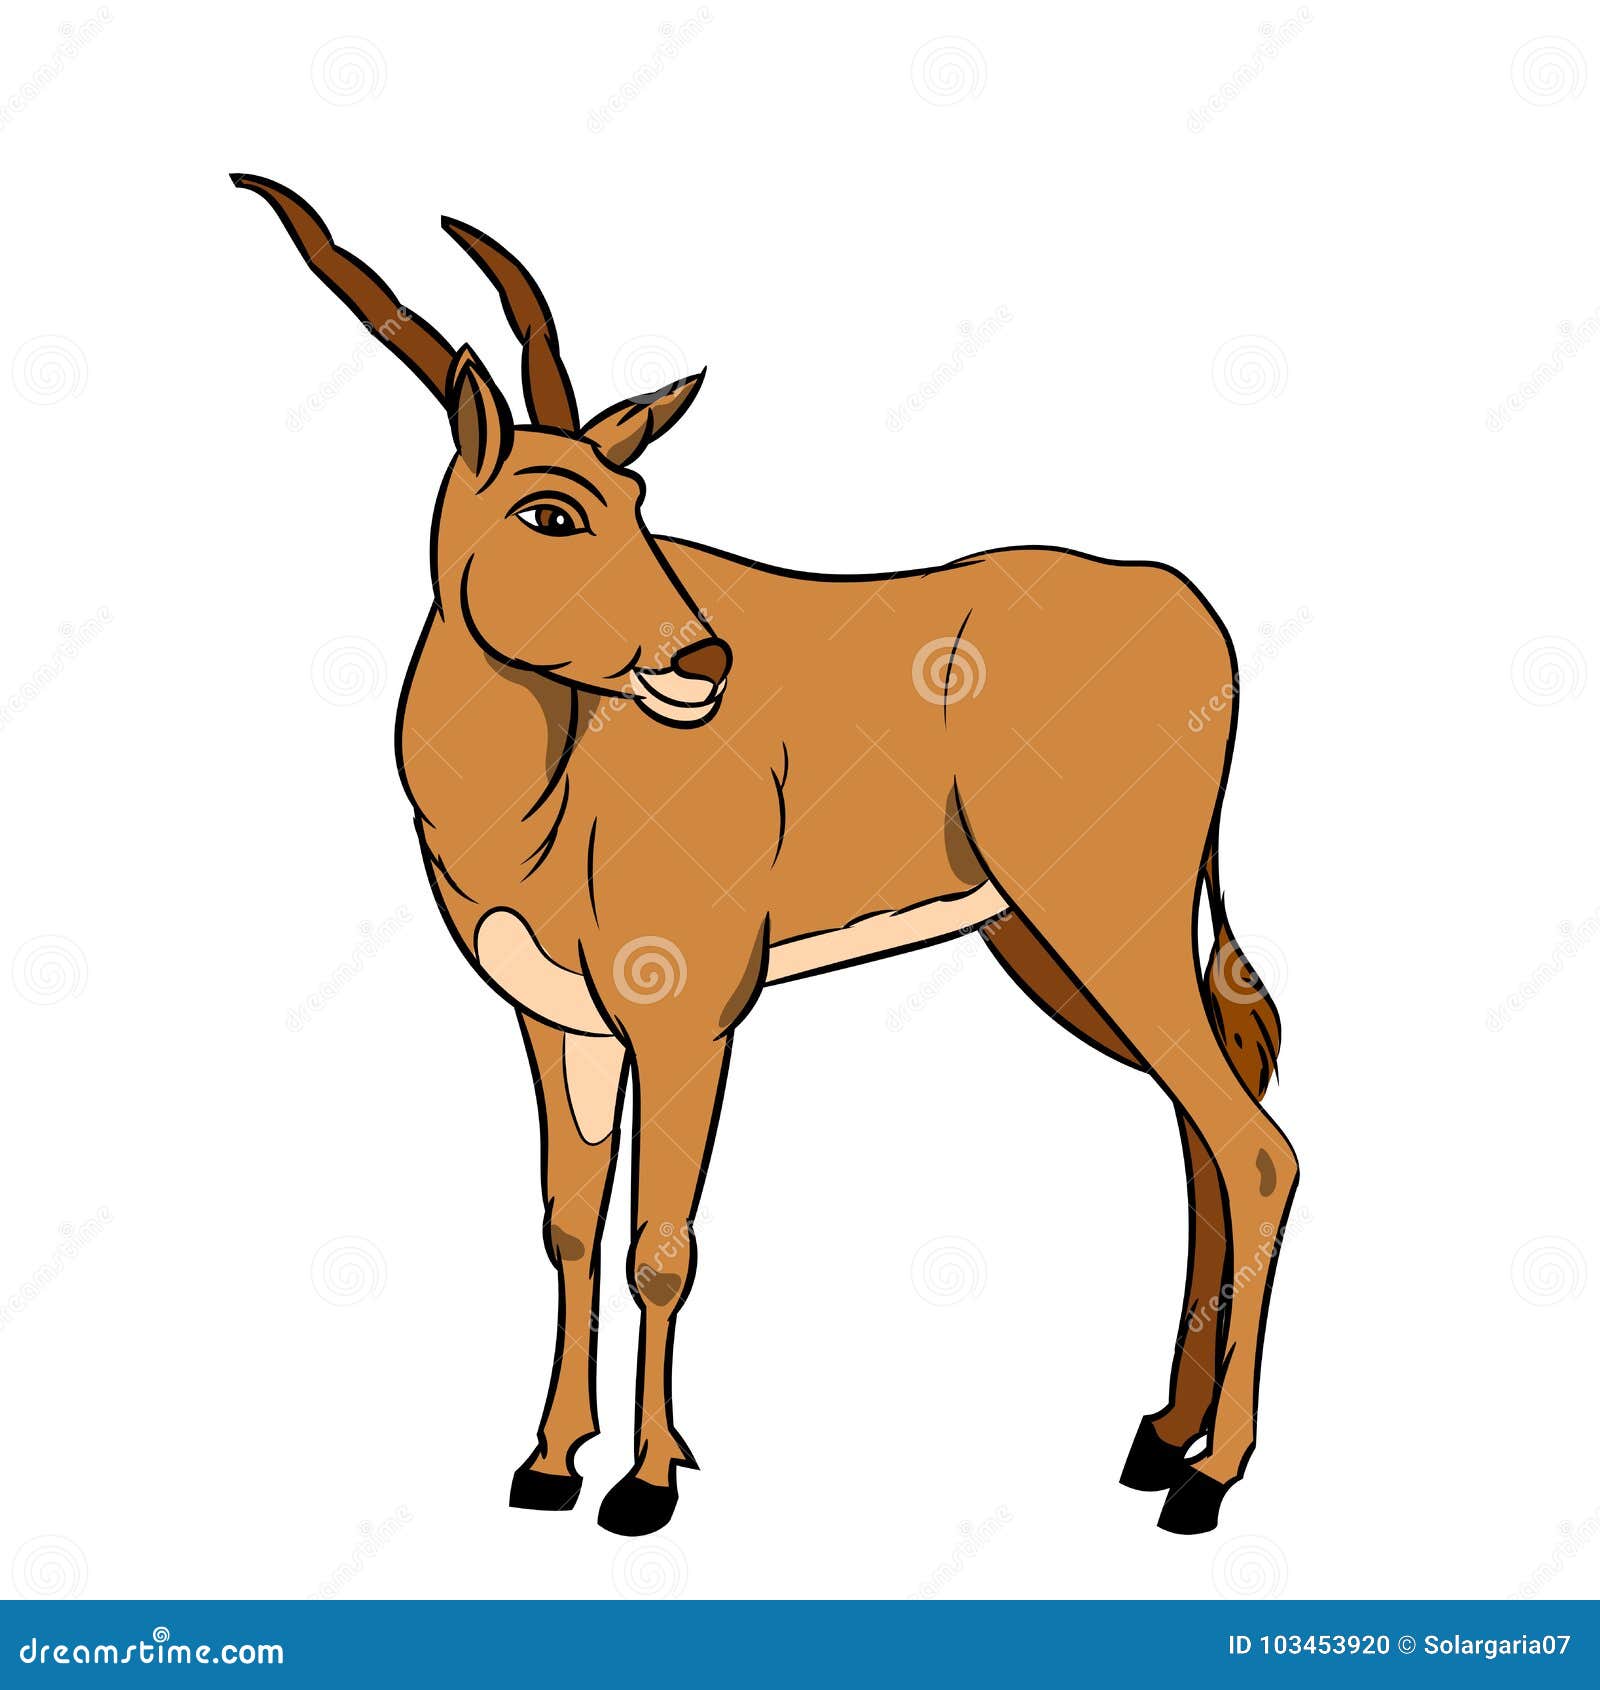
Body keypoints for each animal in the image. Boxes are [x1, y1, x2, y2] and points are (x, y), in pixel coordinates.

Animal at [235, 175, 1297, 1539]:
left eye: (638, 504)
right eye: (549, 506)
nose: (699, 658)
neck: (547, 795)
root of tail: (1186, 608)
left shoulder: (688, 1016)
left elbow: (660, 1242)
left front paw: (643, 1483)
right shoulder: (562, 1025)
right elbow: (568, 1224)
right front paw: (546, 1462)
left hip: (1103, 922)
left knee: (1253, 1147)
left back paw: (1209, 1479)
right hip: (1052, 943)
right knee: (1202, 1130)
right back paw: (1159, 1438)